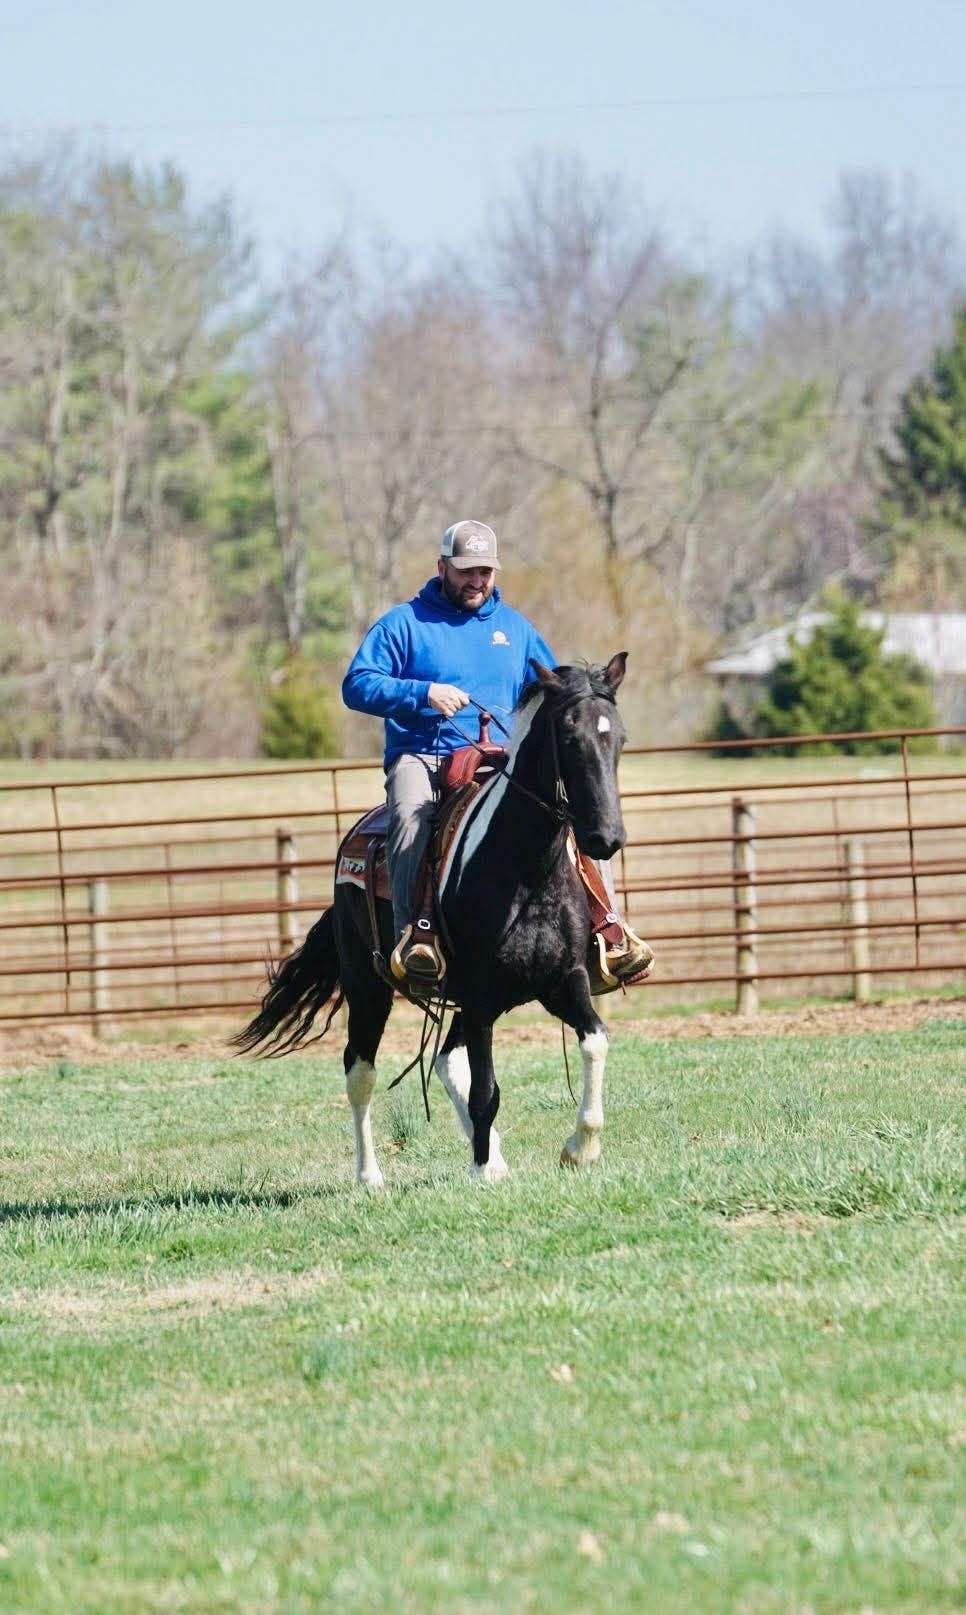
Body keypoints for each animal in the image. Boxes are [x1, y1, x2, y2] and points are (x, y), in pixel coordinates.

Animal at [233, 652, 644, 1185]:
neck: (525, 868)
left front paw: (578, 1149)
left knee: (448, 1060)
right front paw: (481, 1170)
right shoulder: (481, 994)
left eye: (619, 738)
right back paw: (370, 1176)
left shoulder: (562, 981)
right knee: (360, 1071)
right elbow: (487, 1090)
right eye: (570, 738)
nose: (604, 838)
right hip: (368, 986)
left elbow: (595, 1042)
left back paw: (493, 1155)